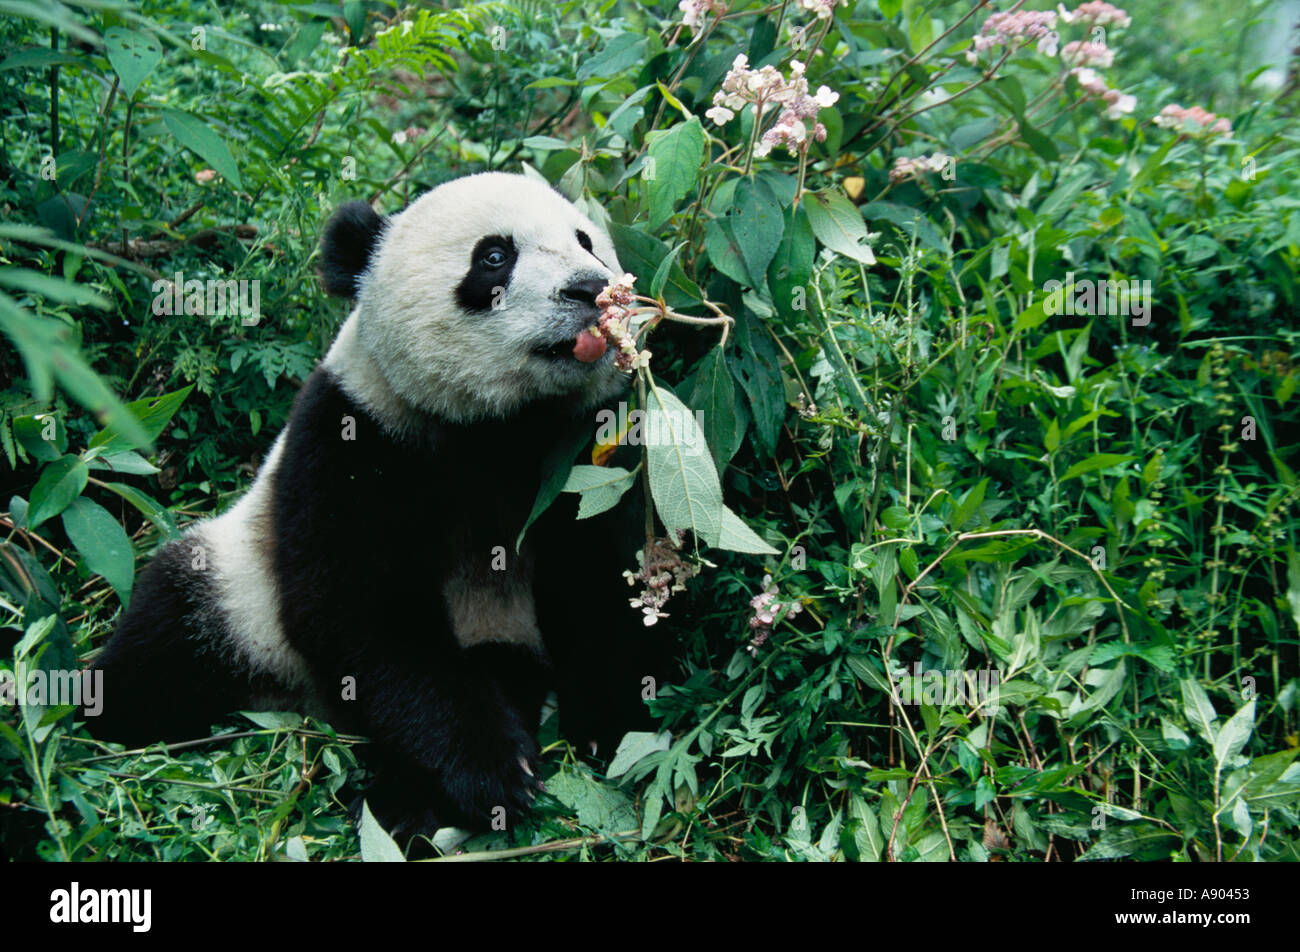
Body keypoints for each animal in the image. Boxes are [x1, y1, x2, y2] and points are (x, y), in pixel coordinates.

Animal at [86, 172, 667, 839]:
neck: (498, 425)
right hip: (238, 593)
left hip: (498, 632)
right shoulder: (357, 430)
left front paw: (611, 725)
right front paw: (495, 771)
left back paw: (405, 803)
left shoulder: (586, 450)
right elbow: (357, 610)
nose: (592, 289)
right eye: (494, 256)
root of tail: (298, 706)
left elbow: (604, 576)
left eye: (587, 242)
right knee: (167, 639)